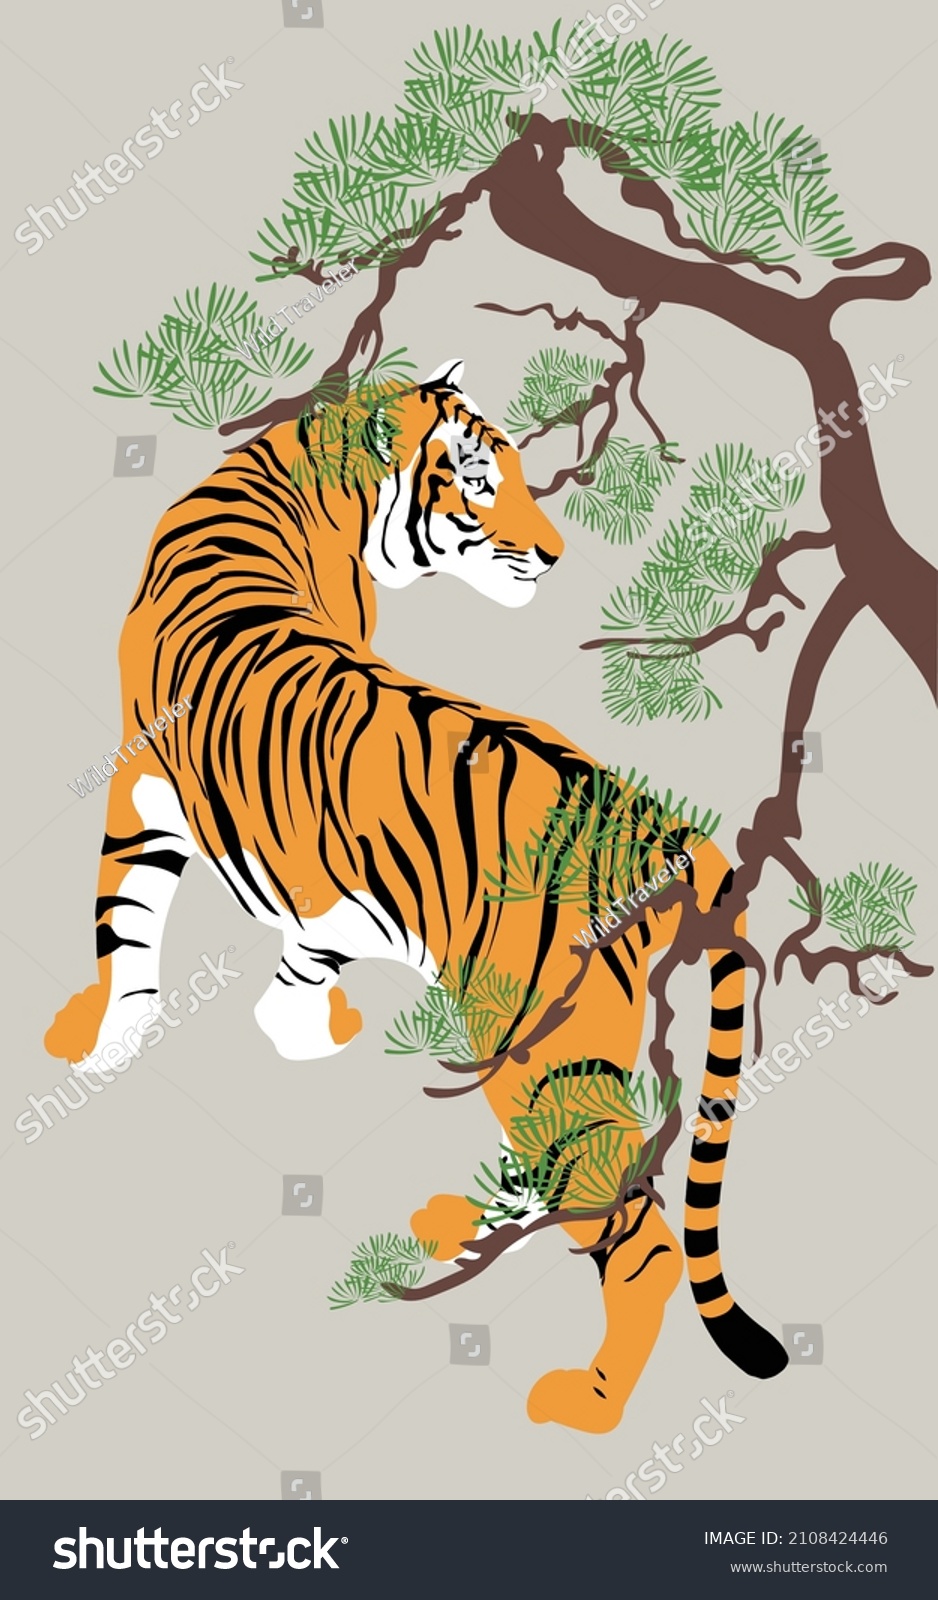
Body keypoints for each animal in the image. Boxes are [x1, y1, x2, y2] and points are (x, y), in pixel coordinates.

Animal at [45, 357, 788, 1433]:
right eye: (480, 483)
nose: (555, 554)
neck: (288, 475)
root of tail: (650, 816)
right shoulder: (194, 809)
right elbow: (230, 932)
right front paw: (259, 1022)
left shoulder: (142, 785)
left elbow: (125, 923)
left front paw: (131, 1034)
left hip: (541, 1044)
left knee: (634, 1234)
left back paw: (591, 1404)